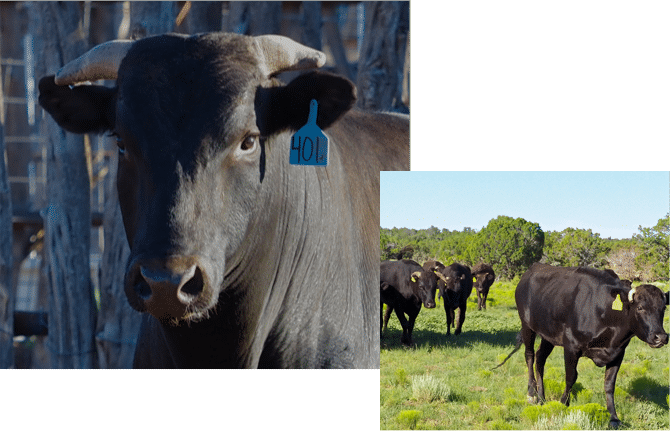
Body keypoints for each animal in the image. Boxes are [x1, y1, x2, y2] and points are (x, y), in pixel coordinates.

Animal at [494, 263, 669, 428]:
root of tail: (534, 268)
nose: (661, 337)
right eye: (640, 308)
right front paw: (563, 404)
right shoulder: (571, 346)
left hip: (547, 335)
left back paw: (542, 398)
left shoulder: (618, 353)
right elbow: (571, 377)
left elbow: (609, 384)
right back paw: (531, 394)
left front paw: (613, 418)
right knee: (529, 356)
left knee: (540, 358)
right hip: (527, 326)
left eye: (663, 309)